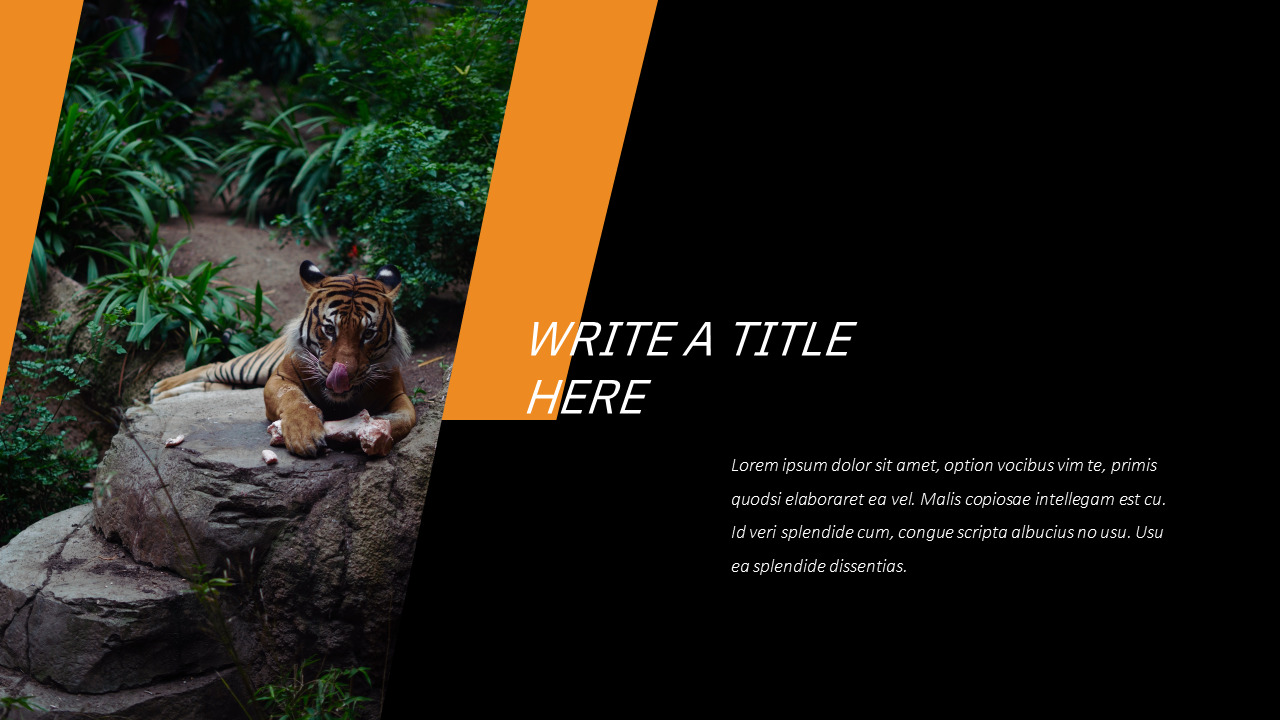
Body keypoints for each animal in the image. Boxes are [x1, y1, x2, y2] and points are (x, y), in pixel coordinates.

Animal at [150, 260, 416, 458]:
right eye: (330, 329)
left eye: (368, 333)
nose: (344, 375)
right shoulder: (278, 378)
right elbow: (293, 399)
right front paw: (304, 435)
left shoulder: (398, 394)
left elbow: (406, 419)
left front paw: (375, 437)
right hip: (251, 367)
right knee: (213, 366)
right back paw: (159, 389)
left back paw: (163, 395)